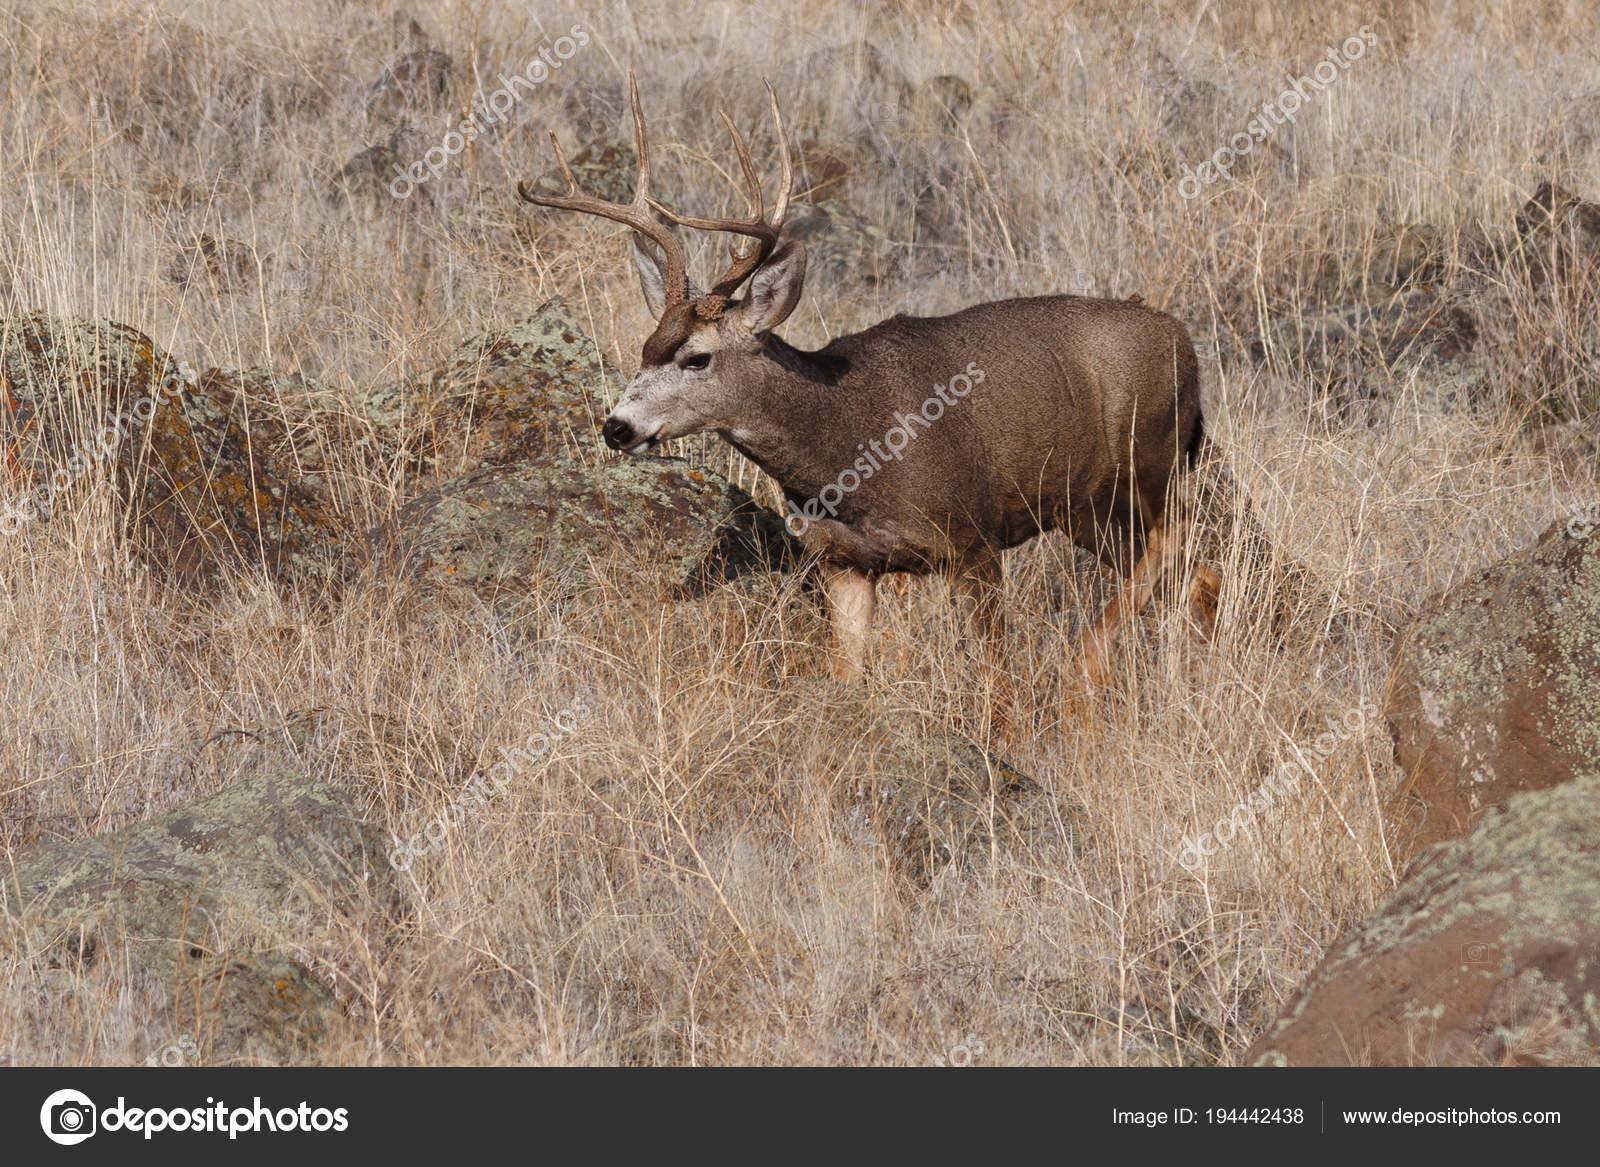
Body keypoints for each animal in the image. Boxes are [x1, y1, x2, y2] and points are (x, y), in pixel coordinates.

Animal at [518, 76, 1208, 685]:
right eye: (644, 348)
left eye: (697, 358)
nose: (616, 427)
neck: (844, 448)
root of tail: (1184, 341)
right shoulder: (843, 561)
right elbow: (847, 675)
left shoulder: (975, 539)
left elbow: (998, 680)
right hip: (1089, 510)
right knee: (1193, 575)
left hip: (1145, 465)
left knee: (1179, 541)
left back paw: (1087, 666)